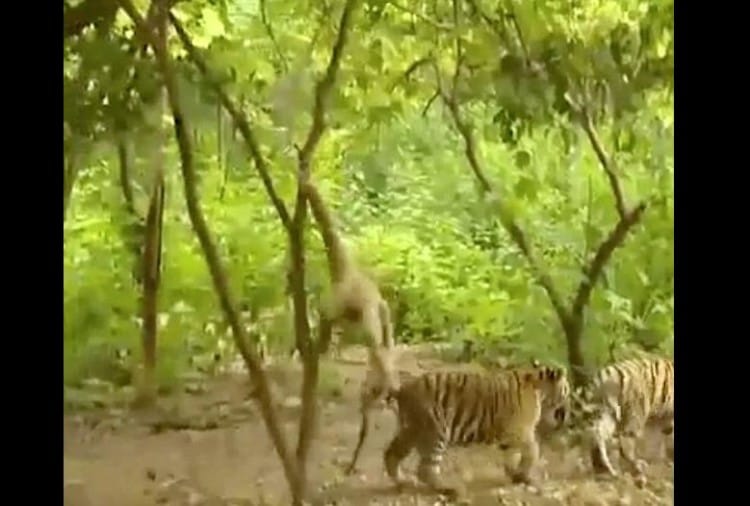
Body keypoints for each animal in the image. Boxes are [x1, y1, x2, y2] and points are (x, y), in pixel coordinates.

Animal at [381, 363, 571, 499]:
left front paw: (516, 475)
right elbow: (533, 451)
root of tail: (403, 390)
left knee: (391, 454)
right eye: (566, 388)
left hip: (410, 431)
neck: (539, 388)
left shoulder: (508, 437)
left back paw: (402, 481)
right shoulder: (520, 431)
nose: (569, 399)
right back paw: (450, 489)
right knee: (425, 469)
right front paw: (524, 475)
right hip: (435, 432)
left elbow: (511, 456)